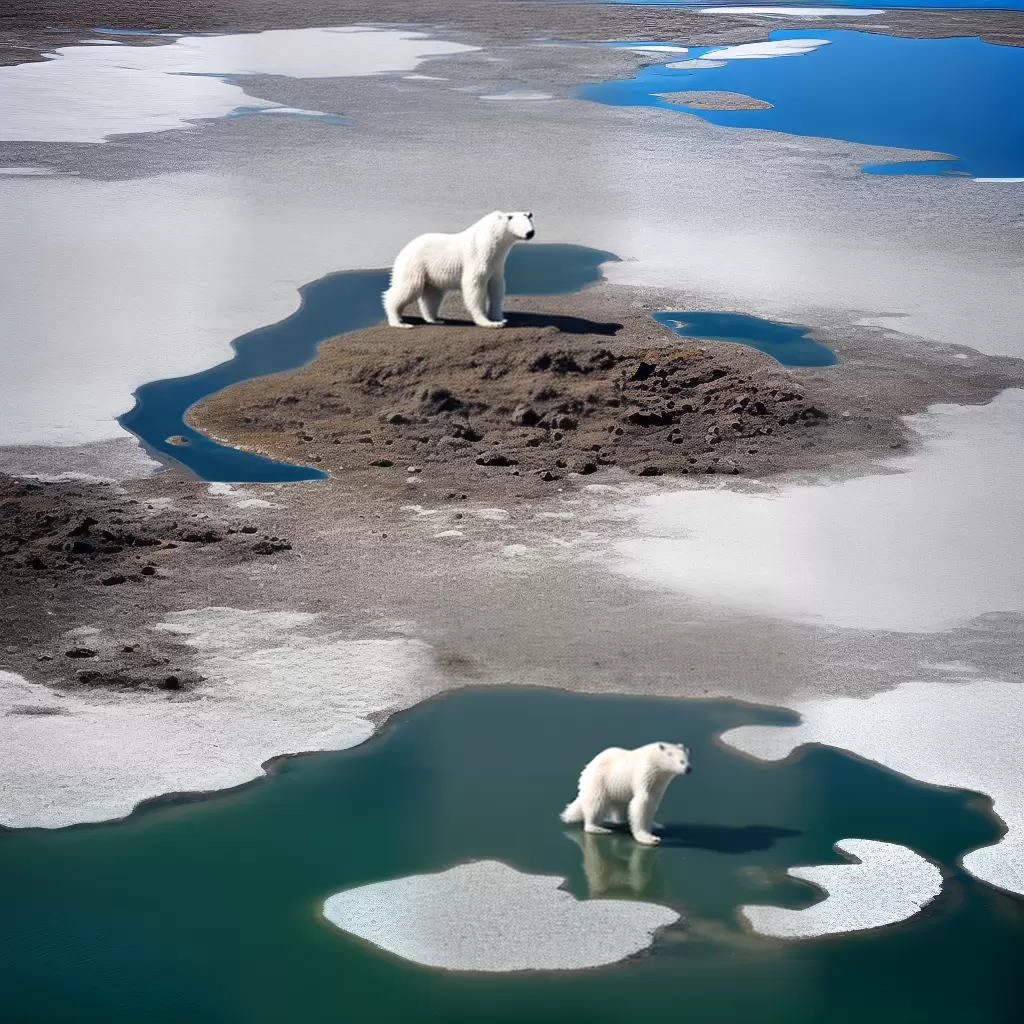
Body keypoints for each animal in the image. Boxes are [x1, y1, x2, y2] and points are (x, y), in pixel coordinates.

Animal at [382, 210, 535, 329]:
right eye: (511, 217)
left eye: (529, 217)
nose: (530, 232)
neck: (493, 238)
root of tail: (403, 249)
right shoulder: (479, 255)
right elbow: (475, 285)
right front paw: (488, 322)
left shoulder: (496, 262)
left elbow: (497, 287)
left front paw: (499, 319)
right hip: (414, 264)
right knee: (408, 287)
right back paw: (399, 321)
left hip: (430, 273)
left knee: (432, 295)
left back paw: (435, 319)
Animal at [560, 742, 691, 846]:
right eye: (679, 760)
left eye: (687, 758)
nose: (688, 768)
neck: (655, 759)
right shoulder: (645, 771)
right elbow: (643, 801)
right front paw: (649, 838)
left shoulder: (659, 781)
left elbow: (653, 801)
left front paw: (655, 825)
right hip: (600, 783)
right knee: (596, 804)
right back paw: (598, 828)